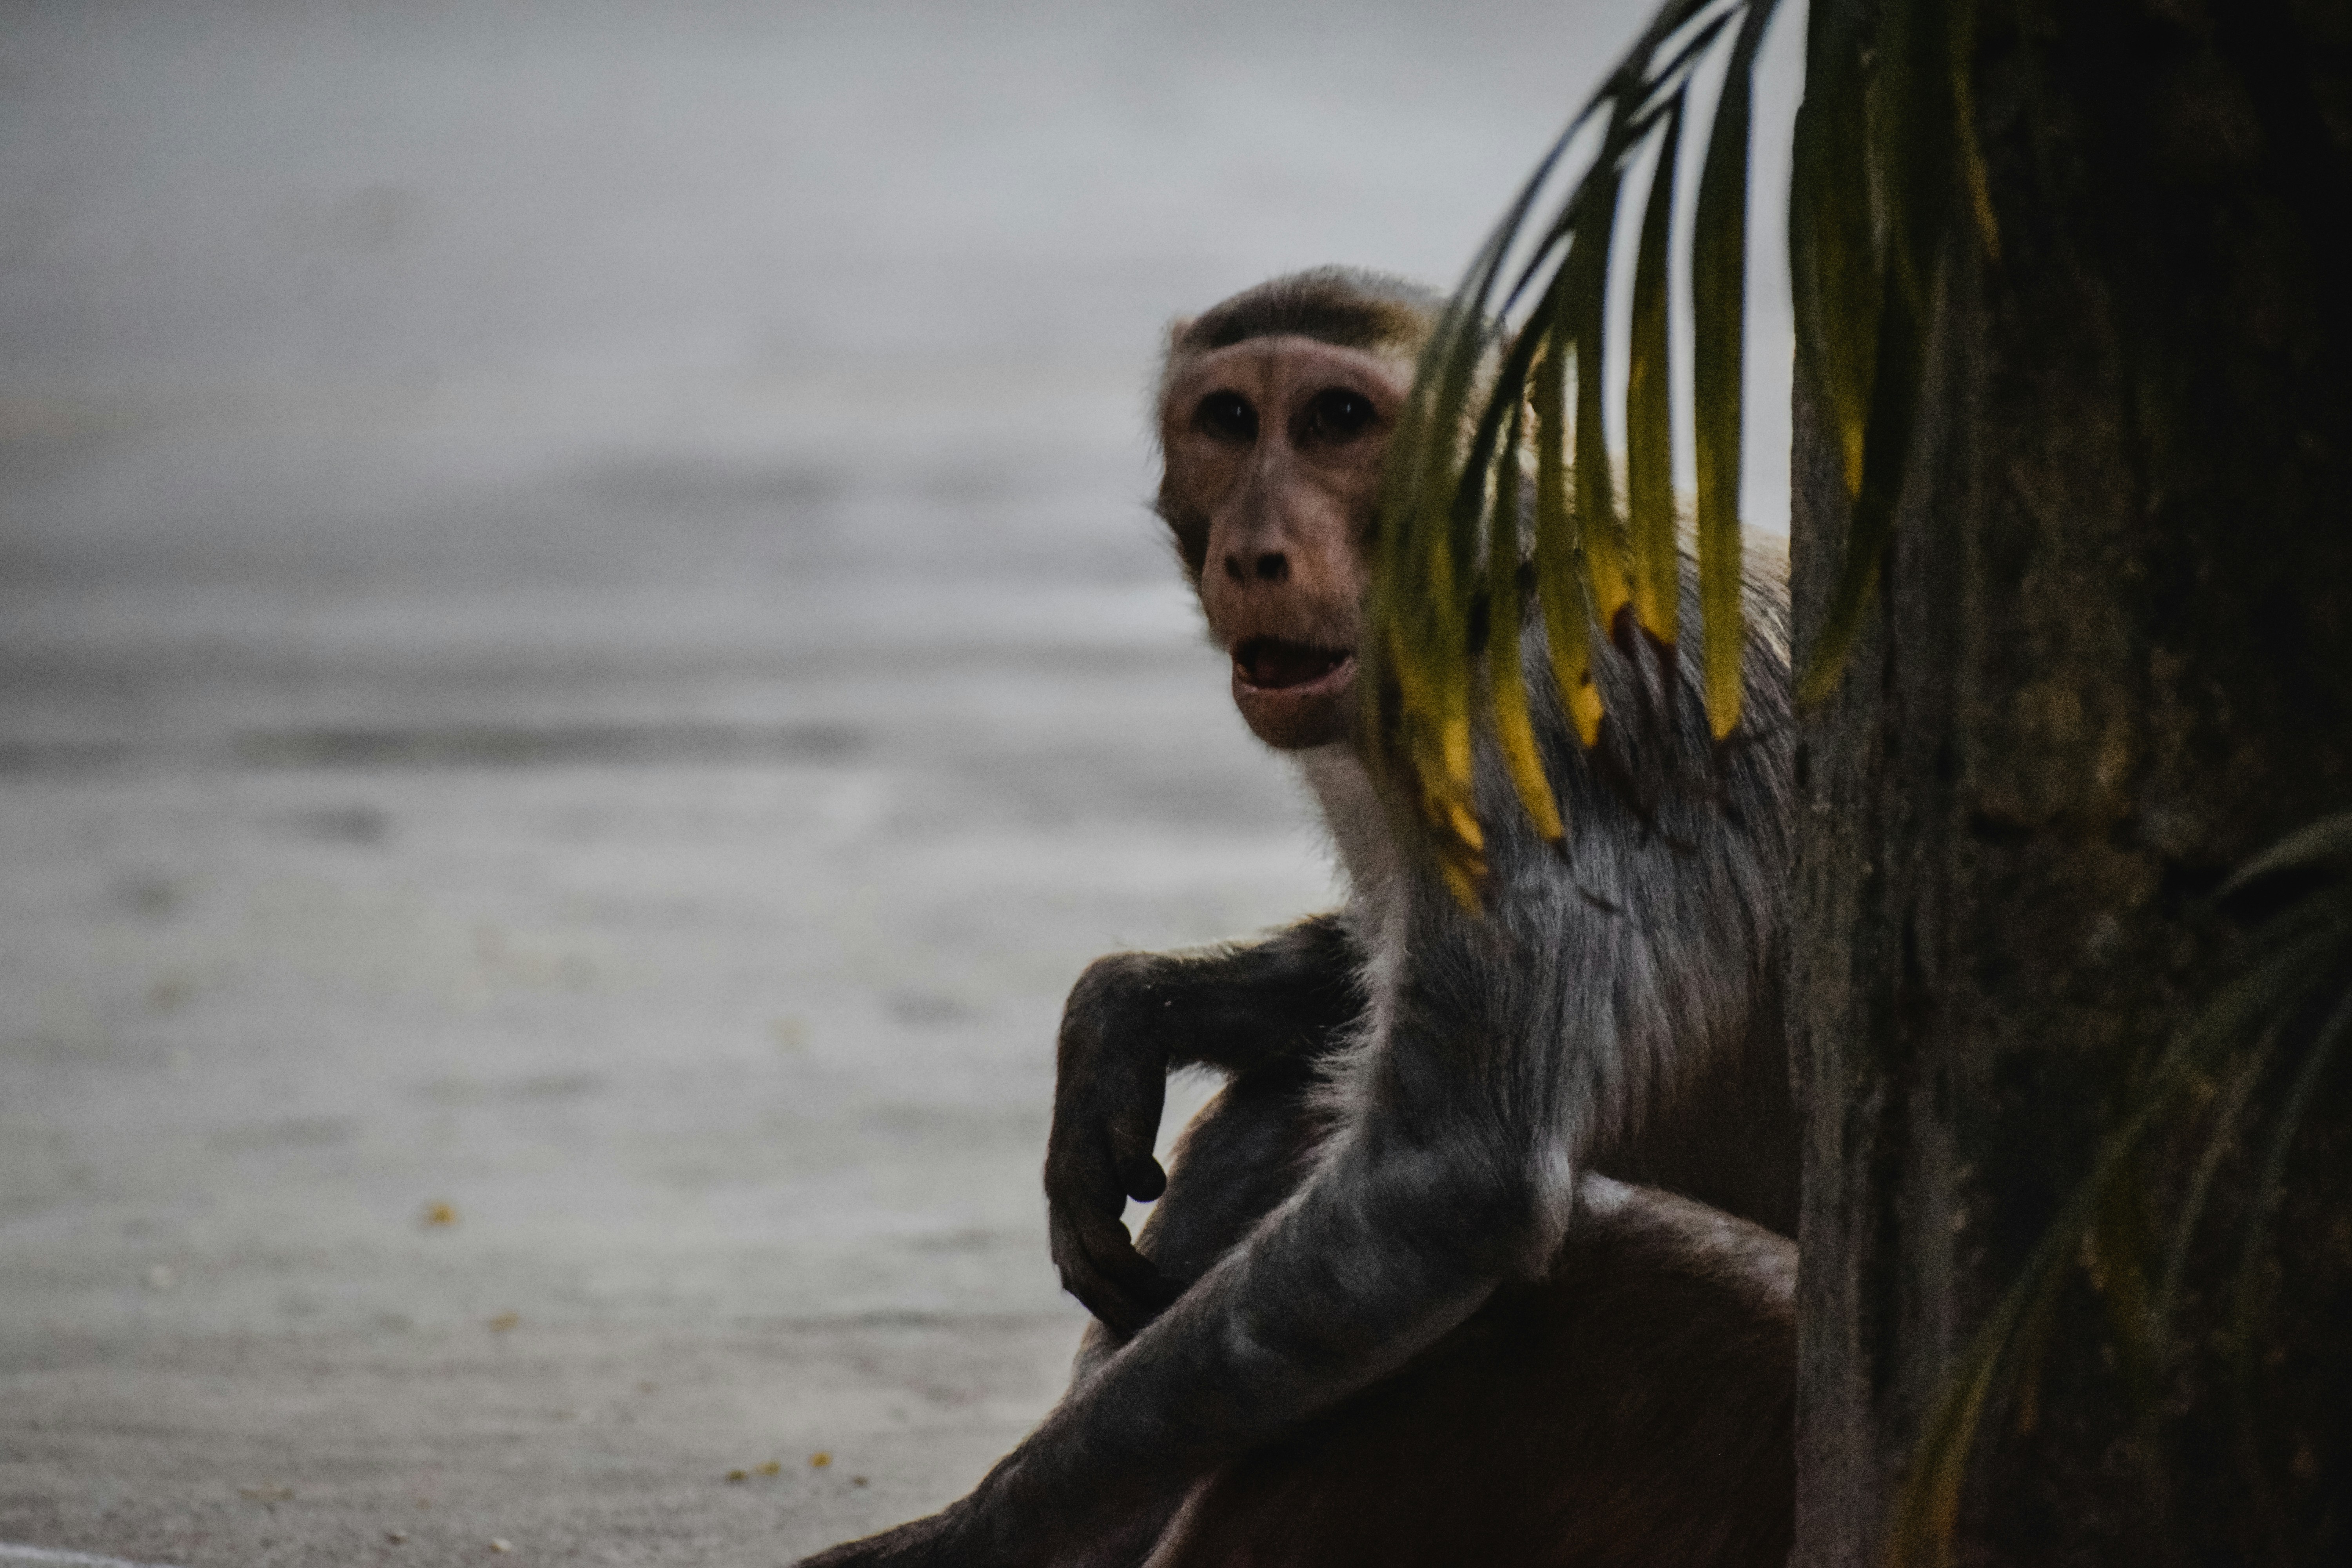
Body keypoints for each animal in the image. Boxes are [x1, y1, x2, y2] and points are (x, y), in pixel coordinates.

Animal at [796, 267, 1797, 1568]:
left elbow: (1450, 1191)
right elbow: (1364, 980)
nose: (1255, 553)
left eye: (1337, 421)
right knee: (1300, 1089)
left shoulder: (1547, 725)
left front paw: (975, 1536)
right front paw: (1125, 1009)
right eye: (1228, 421)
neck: (1508, 574)